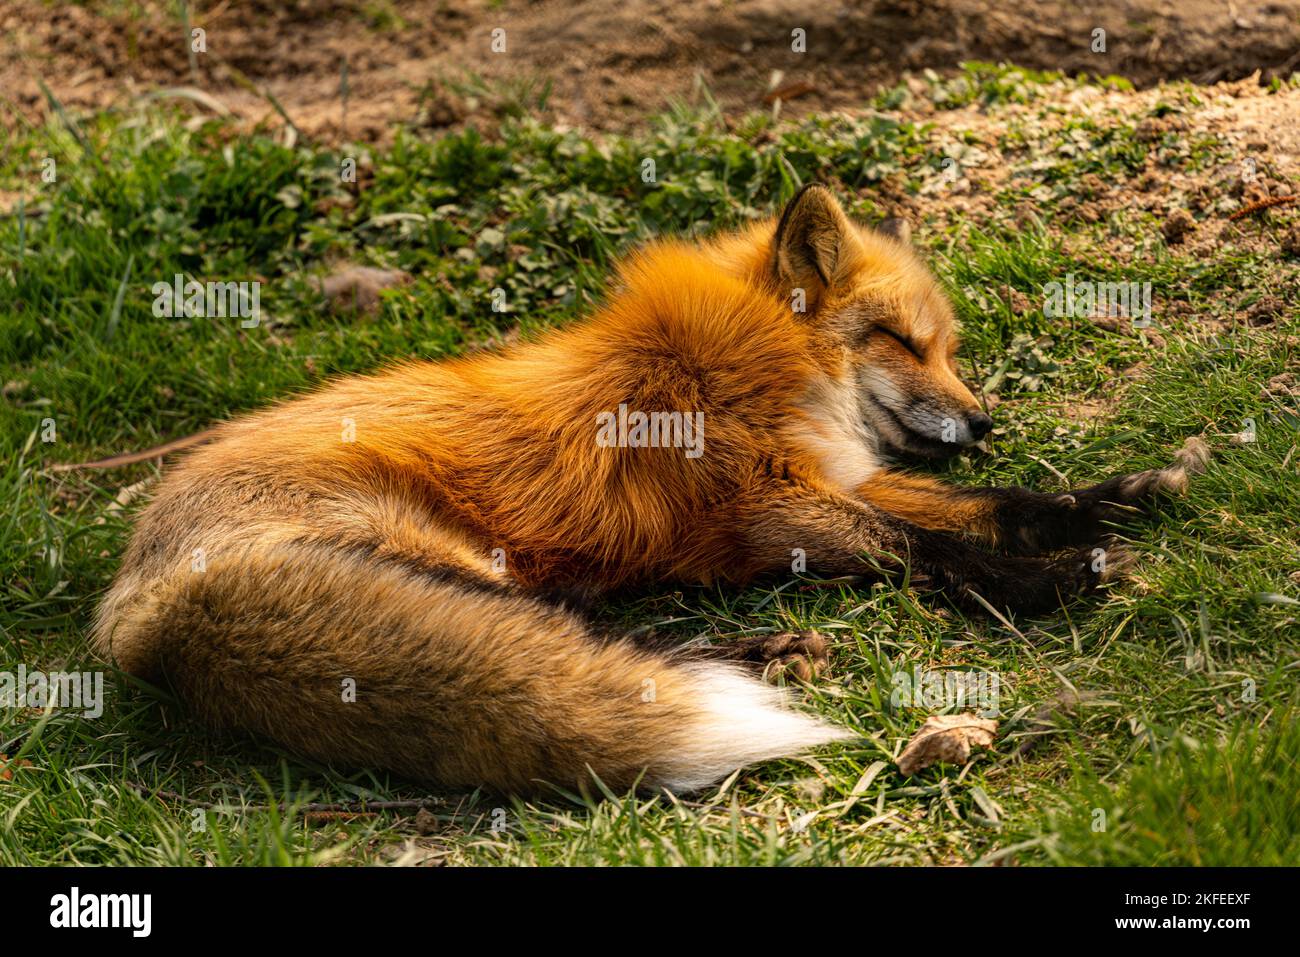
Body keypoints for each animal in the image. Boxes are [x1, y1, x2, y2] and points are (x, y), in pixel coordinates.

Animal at [92, 184, 1208, 795]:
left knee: (597, 640)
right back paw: (763, 656)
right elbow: (935, 550)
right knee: (589, 646)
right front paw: (1052, 582)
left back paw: (770, 653)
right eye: (901, 340)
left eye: (947, 349)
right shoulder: (767, 504)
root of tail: (130, 610)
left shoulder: (832, 477)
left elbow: (1002, 506)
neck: (762, 367)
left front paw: (1116, 495)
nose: (982, 421)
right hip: (450, 561)